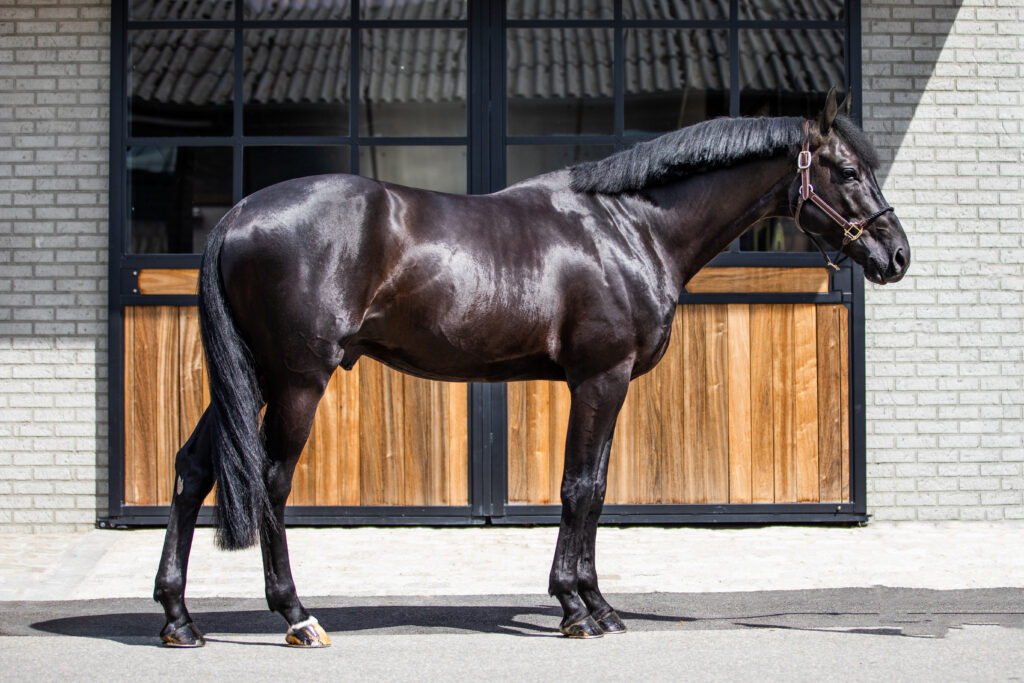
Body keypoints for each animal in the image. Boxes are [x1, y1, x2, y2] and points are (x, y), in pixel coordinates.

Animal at [154, 88, 910, 646]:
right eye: (848, 171)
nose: (896, 254)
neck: (629, 227)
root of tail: (238, 216)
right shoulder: (599, 378)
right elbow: (579, 487)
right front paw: (576, 609)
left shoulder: (605, 383)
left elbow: (596, 490)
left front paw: (600, 606)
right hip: (296, 382)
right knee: (271, 483)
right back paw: (297, 616)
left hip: (251, 376)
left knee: (194, 468)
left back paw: (179, 619)